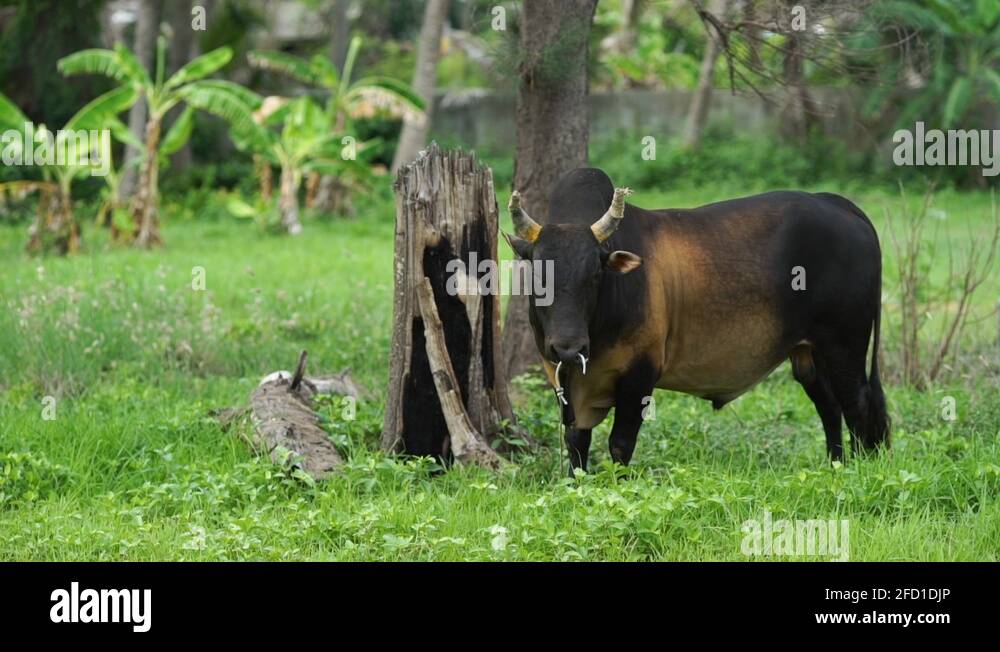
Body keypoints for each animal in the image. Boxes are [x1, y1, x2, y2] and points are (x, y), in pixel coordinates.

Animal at [503, 168, 890, 472]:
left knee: (857, 403)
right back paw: (835, 464)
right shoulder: (562, 379)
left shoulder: (639, 375)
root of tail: (838, 204)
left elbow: (619, 444)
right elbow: (576, 442)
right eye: (537, 276)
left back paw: (859, 468)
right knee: (829, 407)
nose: (569, 348)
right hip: (808, 354)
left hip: (844, 344)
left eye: (595, 275)